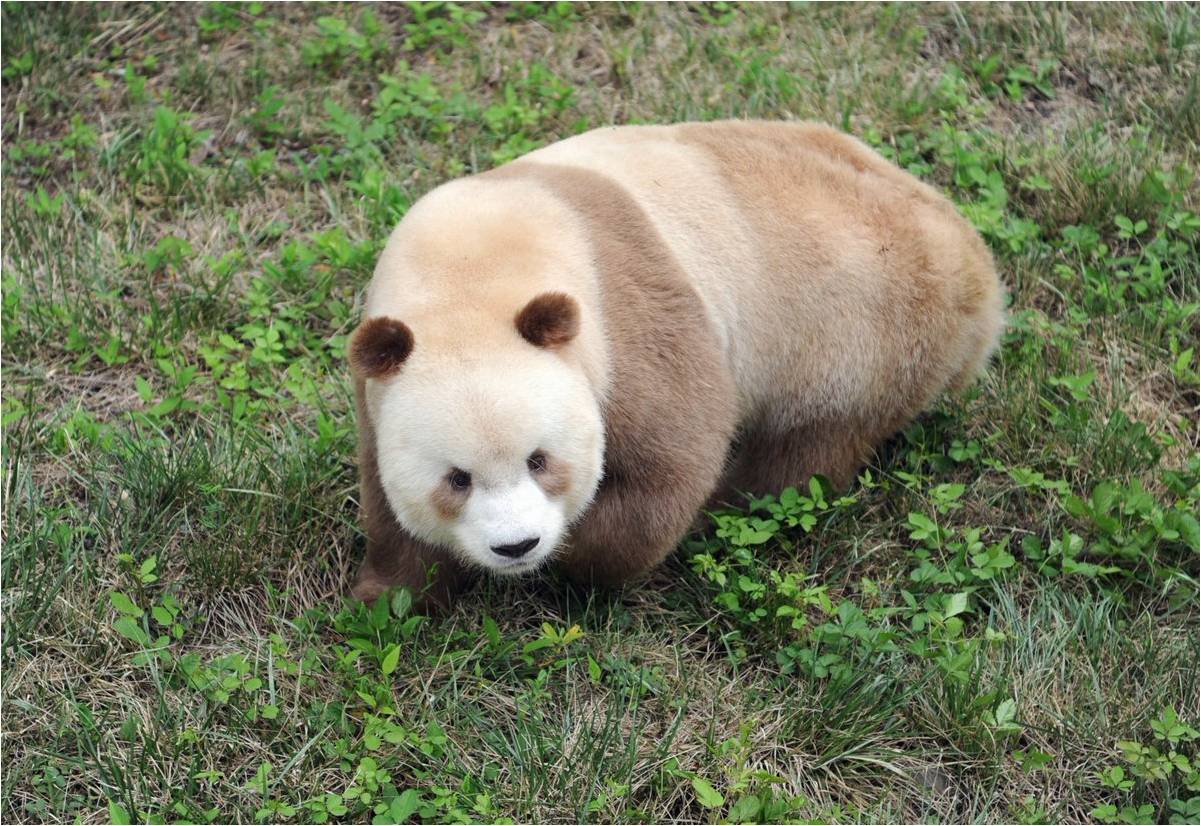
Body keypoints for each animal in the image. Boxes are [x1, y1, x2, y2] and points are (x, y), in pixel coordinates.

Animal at [348, 120, 1005, 605]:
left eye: (540, 460)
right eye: (456, 478)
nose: (518, 547)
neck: (470, 273)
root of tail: (978, 273)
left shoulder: (625, 316)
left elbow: (671, 459)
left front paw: (577, 558)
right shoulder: (379, 381)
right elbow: (385, 494)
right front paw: (388, 596)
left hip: (862, 333)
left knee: (806, 451)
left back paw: (726, 508)